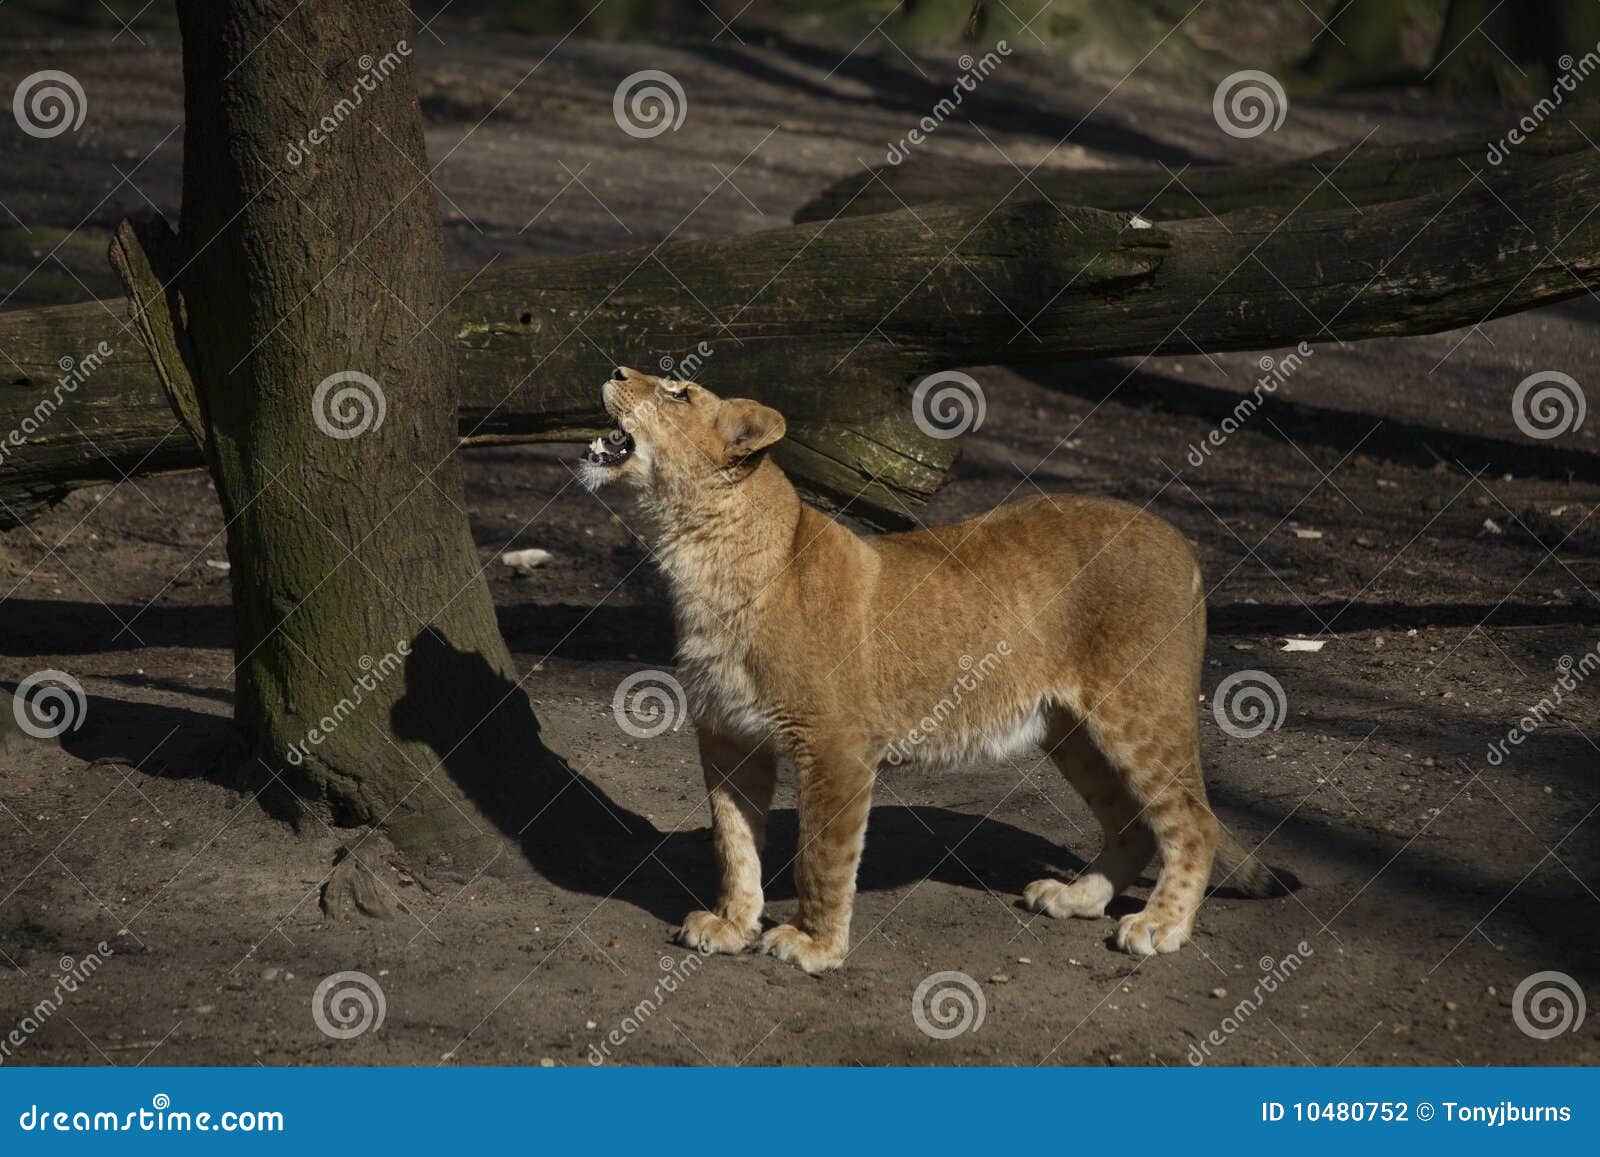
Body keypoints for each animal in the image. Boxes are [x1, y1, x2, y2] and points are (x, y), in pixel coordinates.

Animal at [581, 366, 1285, 974]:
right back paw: (1077, 898)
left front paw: (814, 944)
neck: (698, 552)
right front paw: (732, 925)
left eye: (678, 391)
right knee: (1133, 823)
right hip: (1072, 730)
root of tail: (1179, 540)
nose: (615, 371)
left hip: (1138, 710)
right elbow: (734, 842)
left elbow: (821, 856)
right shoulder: (728, 738)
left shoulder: (836, 746)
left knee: (1194, 820)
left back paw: (1160, 925)